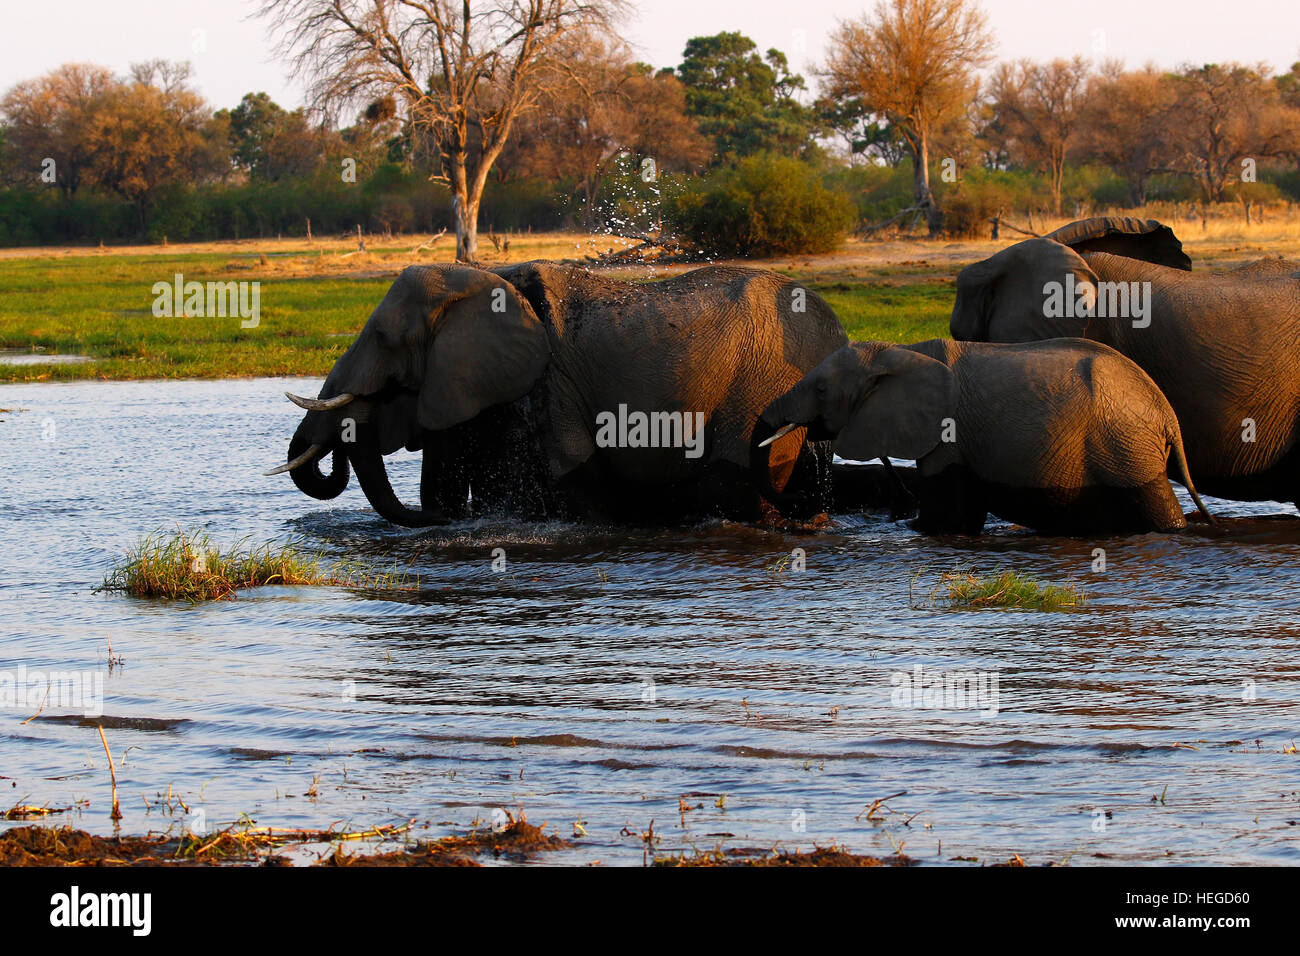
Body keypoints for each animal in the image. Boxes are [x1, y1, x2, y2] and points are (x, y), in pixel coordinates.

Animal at [268, 261, 850, 526]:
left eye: (384, 339)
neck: (487, 280)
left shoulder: (549, 384)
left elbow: (558, 476)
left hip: (760, 389)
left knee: (735, 485)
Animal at [752, 338, 1214, 535]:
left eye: (821, 390)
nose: (801, 501)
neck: (891, 351)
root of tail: (1166, 414)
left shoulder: (947, 433)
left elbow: (947, 520)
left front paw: (913, 524)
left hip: (1125, 446)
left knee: (1155, 507)